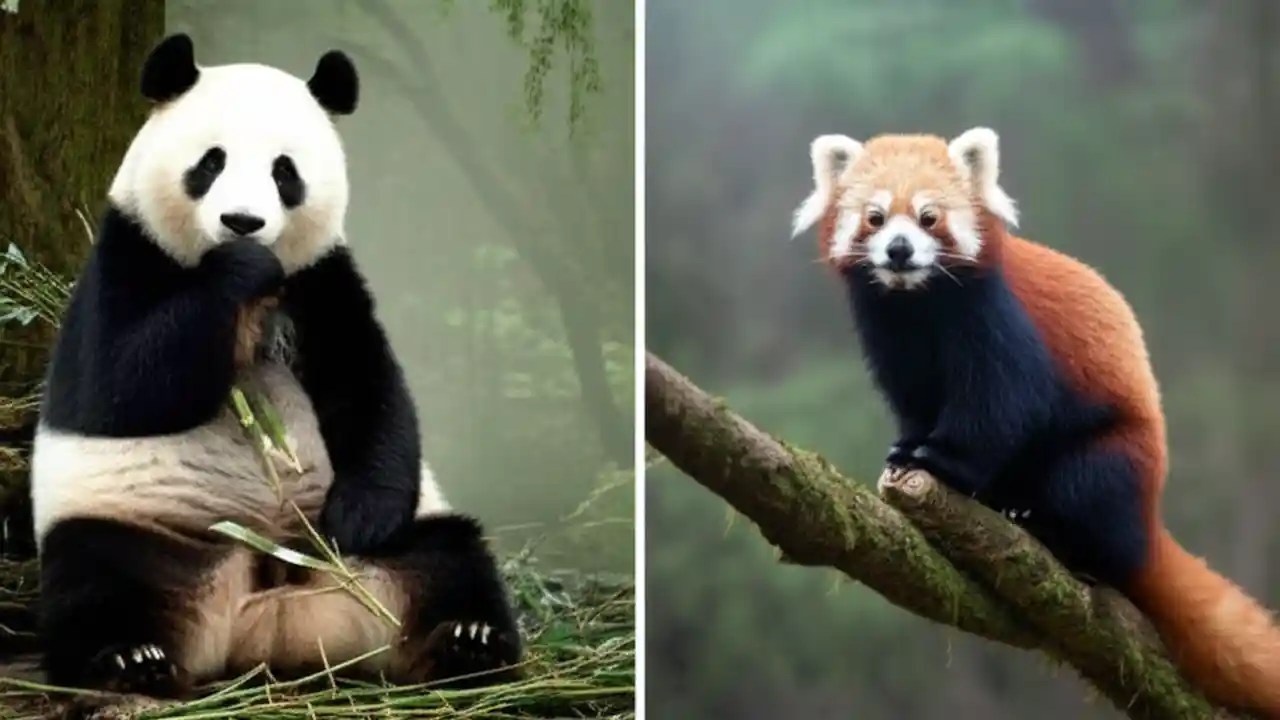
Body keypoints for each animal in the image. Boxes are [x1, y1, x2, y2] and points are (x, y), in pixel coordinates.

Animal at [29, 34, 520, 697]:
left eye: (284, 171)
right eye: (210, 162)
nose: (242, 223)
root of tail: (265, 619)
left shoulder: (323, 280)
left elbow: (371, 389)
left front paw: (357, 519)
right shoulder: (125, 257)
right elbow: (120, 386)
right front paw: (238, 268)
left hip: (408, 542)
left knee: (450, 556)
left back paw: (470, 641)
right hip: (147, 529)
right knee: (95, 577)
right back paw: (131, 658)